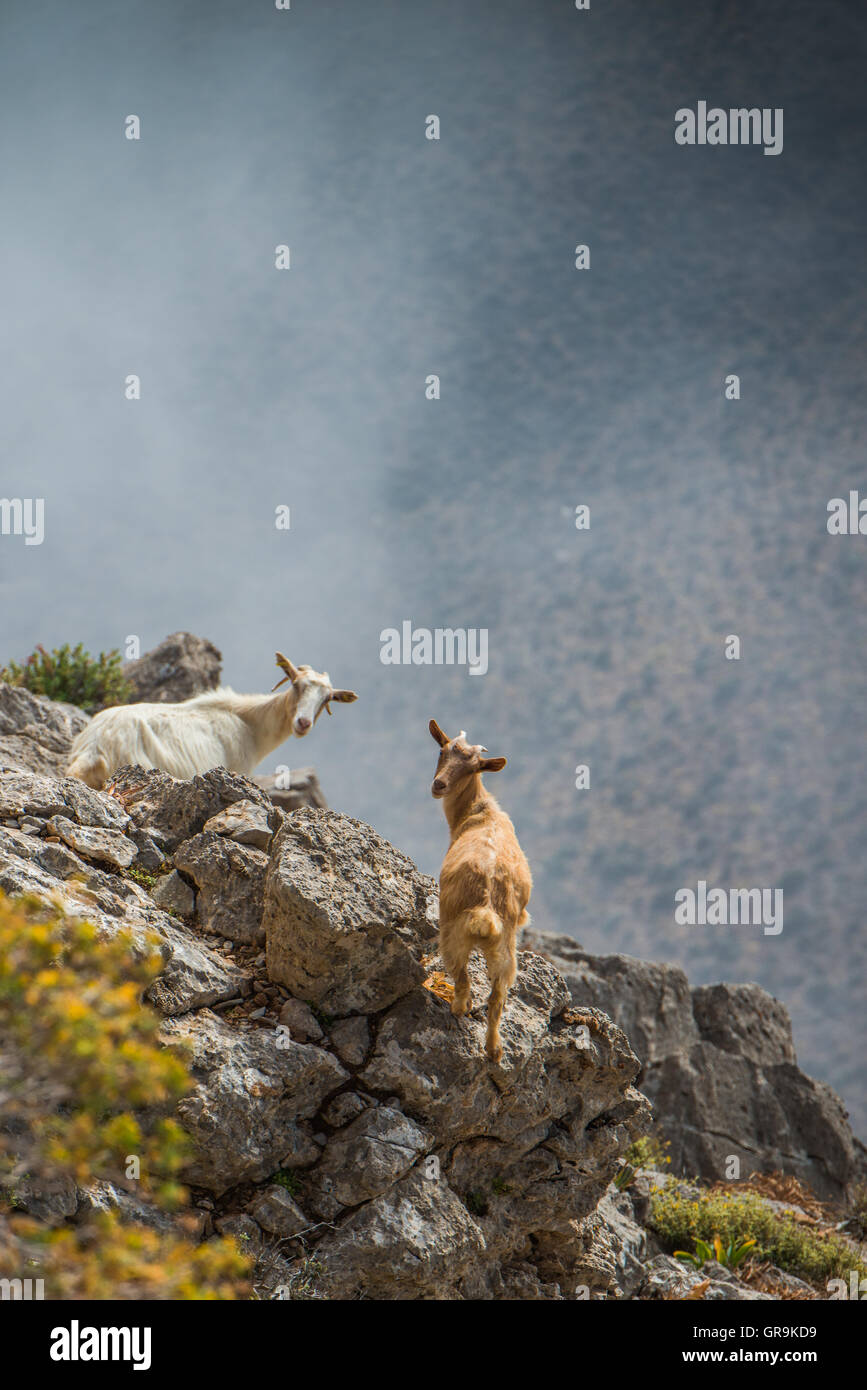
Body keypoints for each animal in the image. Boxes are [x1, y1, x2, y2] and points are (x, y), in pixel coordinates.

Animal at [429, 718, 532, 1062]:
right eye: (443, 751)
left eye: (474, 767)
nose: (439, 785)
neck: (478, 811)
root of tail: (485, 909)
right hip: (506, 950)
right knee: (498, 997)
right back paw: (494, 1050)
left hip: (453, 933)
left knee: (462, 977)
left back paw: (459, 1009)